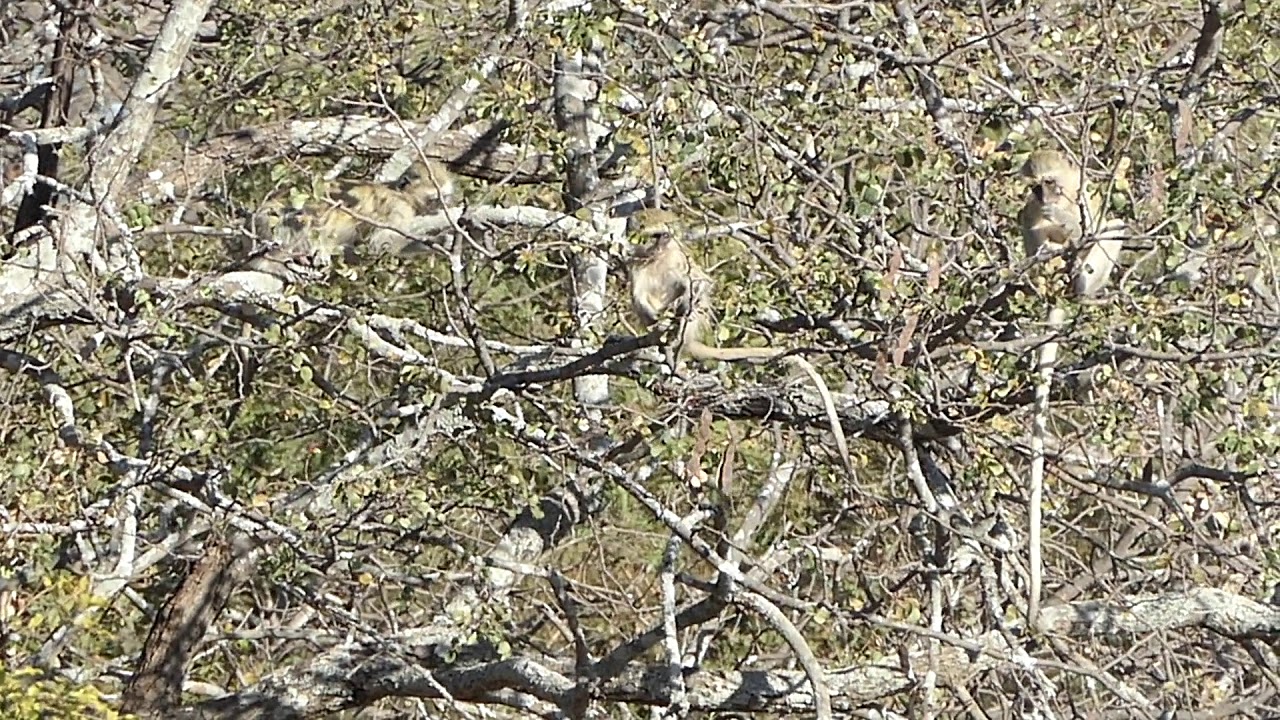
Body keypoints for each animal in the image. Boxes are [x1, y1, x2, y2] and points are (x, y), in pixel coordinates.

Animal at [245, 158, 455, 281]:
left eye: (445, 198)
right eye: (436, 199)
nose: (443, 206)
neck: (403, 195)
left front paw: (442, 239)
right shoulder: (397, 207)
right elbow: (379, 242)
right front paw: (448, 218)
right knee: (305, 216)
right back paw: (271, 262)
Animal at [625, 208, 854, 480]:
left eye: (663, 234)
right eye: (653, 235)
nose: (662, 243)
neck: (657, 258)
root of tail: (688, 343)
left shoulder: (679, 258)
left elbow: (699, 283)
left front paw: (683, 302)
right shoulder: (637, 264)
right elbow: (639, 296)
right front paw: (656, 317)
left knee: (689, 297)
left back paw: (675, 333)